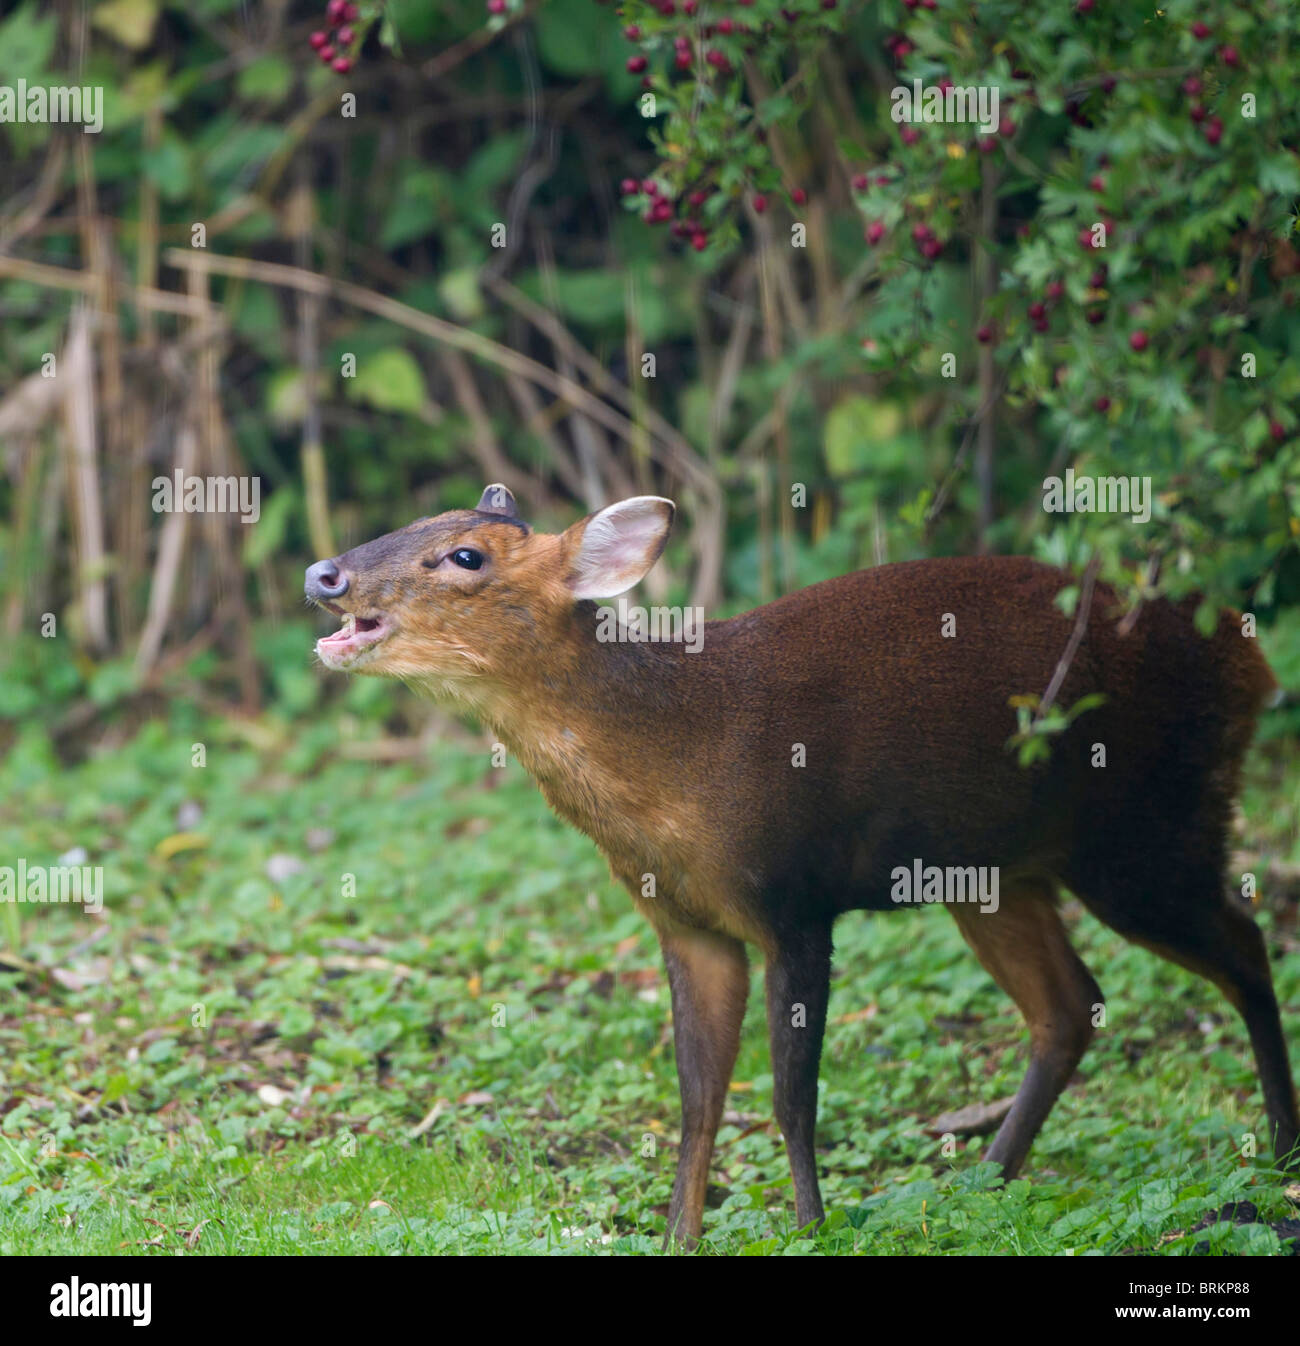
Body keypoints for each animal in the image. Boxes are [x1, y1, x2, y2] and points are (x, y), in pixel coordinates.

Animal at [305, 484, 1299, 1249]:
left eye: (465, 555)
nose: (325, 575)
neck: (678, 762)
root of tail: (1246, 656)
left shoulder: (794, 899)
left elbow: (791, 1095)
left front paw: (812, 1227)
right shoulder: (690, 928)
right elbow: (699, 1098)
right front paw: (679, 1237)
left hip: (1148, 827)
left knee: (1246, 946)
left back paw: (1281, 1155)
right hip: (999, 869)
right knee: (1068, 1003)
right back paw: (984, 1181)